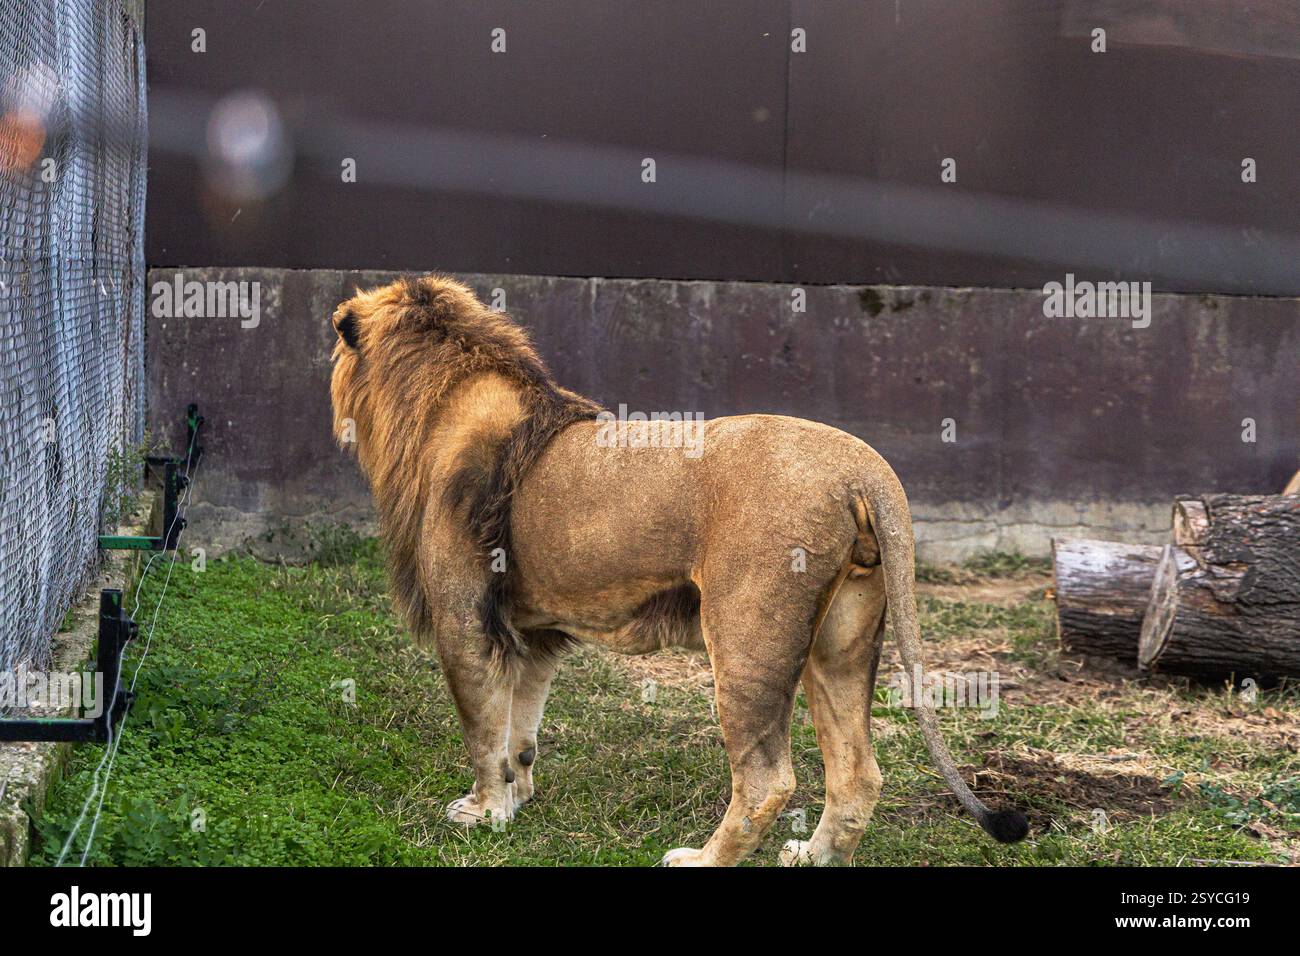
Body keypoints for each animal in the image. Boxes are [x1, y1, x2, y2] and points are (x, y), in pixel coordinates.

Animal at [329, 274, 1028, 866]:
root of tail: (866, 467)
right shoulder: (533, 631)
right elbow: (518, 731)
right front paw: (518, 797)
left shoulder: (464, 622)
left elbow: (481, 729)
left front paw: (483, 813)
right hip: (840, 641)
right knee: (857, 772)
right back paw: (813, 855)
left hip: (745, 636)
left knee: (767, 781)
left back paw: (700, 859)